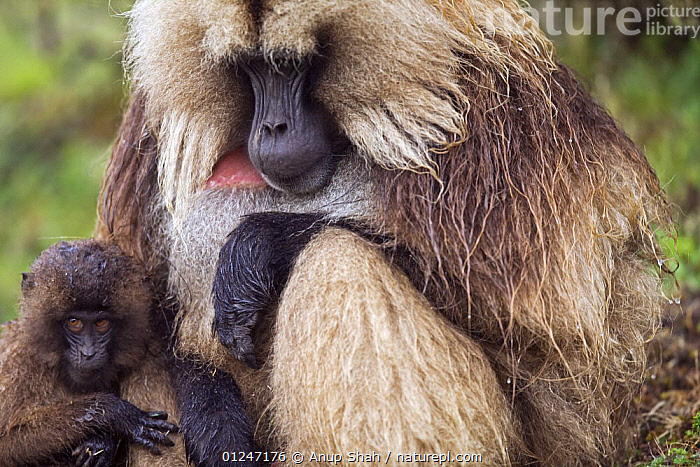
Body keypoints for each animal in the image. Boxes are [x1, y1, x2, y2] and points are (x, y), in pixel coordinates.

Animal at [0, 240, 180, 467]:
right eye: (74, 322)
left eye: (101, 322)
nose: (88, 353)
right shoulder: (20, 365)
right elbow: (5, 445)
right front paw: (114, 415)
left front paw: (103, 441)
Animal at [95, 0, 673, 465]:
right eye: (249, 68)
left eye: (289, 65)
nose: (272, 129)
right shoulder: (149, 120)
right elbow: (133, 293)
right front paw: (212, 418)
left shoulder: (496, 102)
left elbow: (551, 309)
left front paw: (258, 248)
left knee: (338, 259)